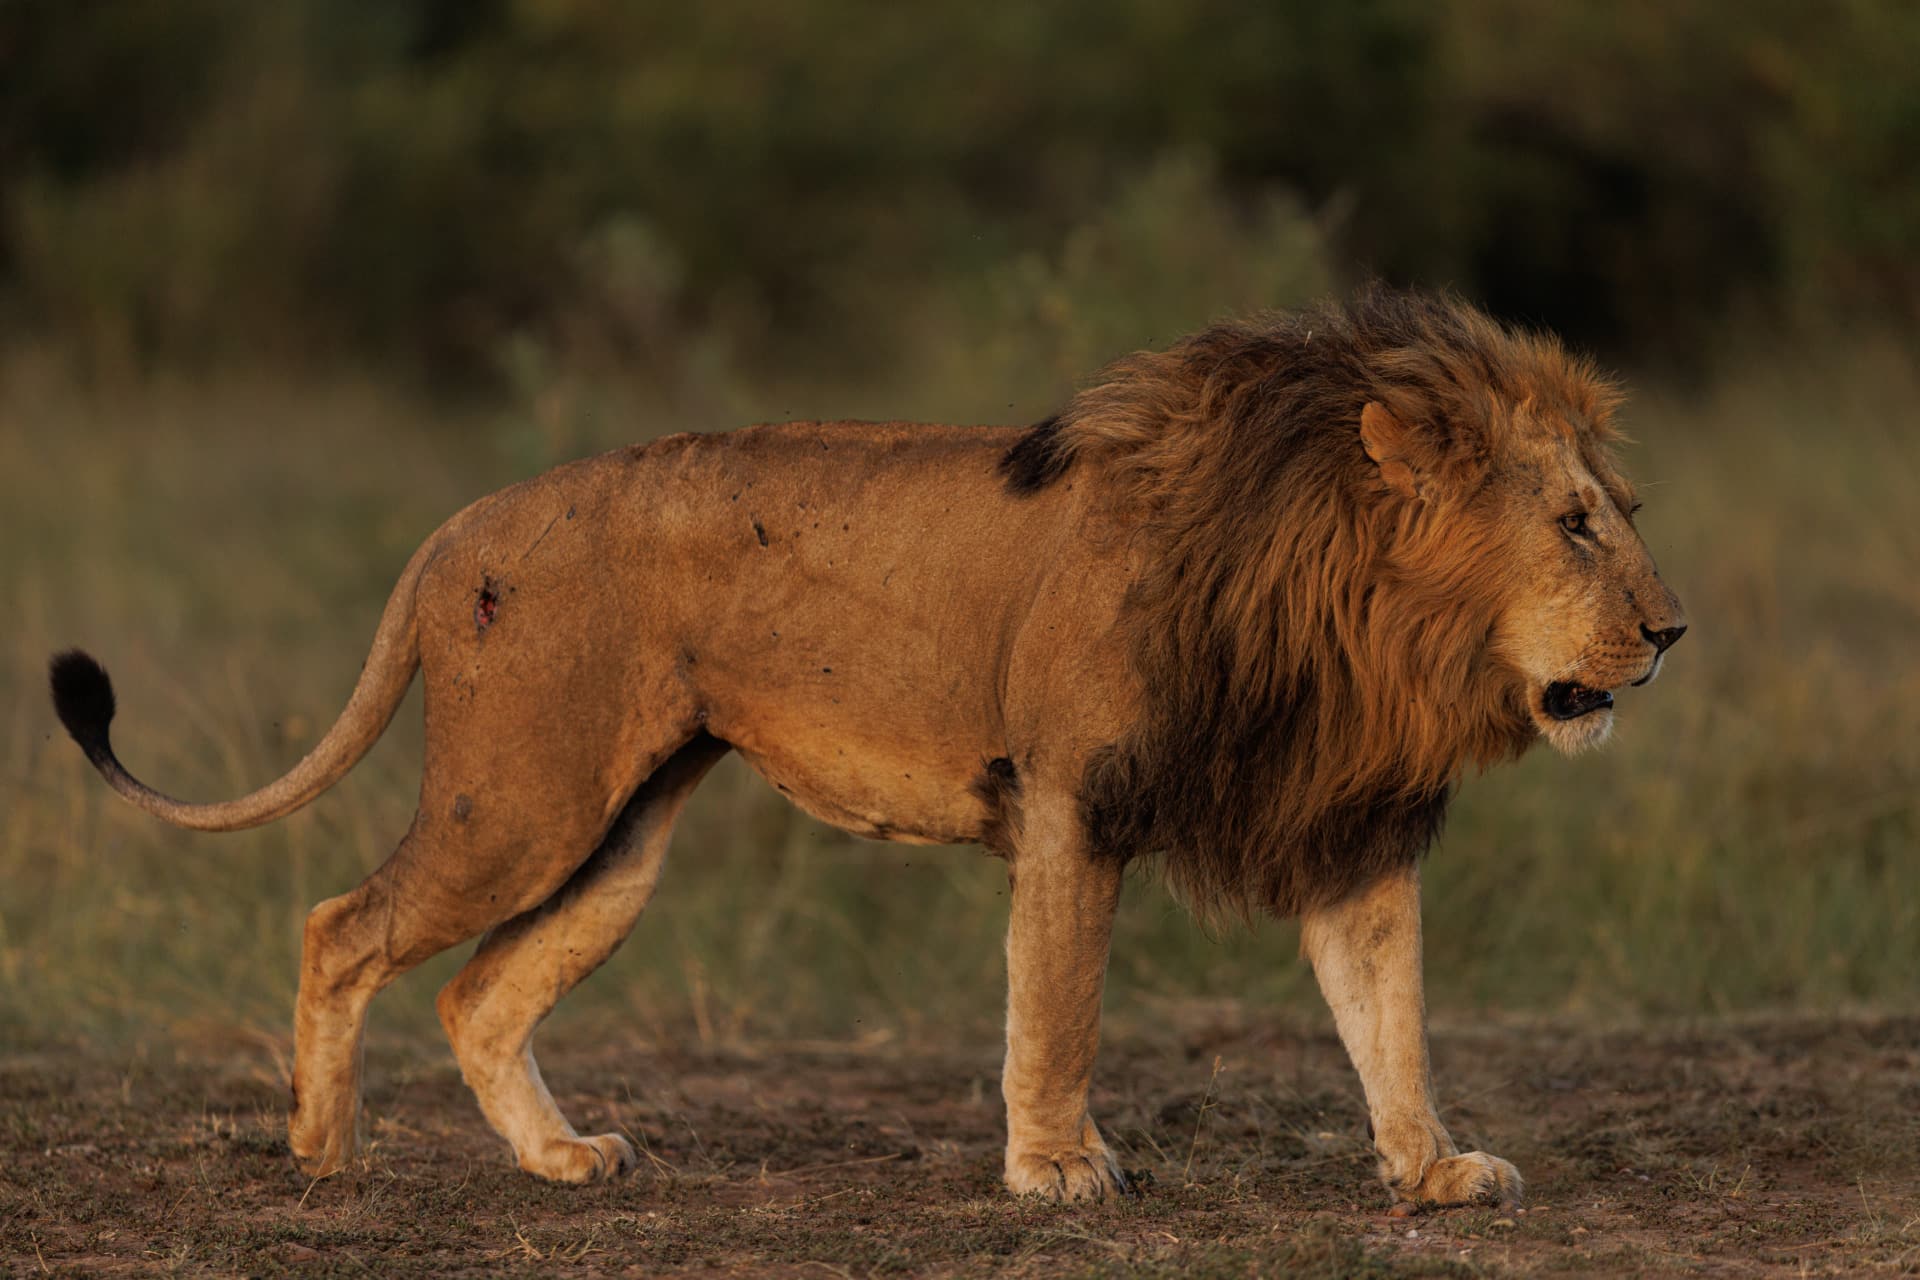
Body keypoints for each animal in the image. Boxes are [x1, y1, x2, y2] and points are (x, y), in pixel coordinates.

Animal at [50, 287, 1685, 1210]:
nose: (1672, 633)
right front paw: (1056, 1171)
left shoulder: (1350, 832)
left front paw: (1433, 1171)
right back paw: (326, 1156)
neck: (1355, 625)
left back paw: (561, 1161)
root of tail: (456, 525)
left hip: (614, 831)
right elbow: (1059, 1010)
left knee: (477, 993)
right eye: (1573, 524)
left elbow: (1391, 1020)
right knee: (343, 926)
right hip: (518, 796)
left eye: (1619, 513)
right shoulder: (1072, 802)